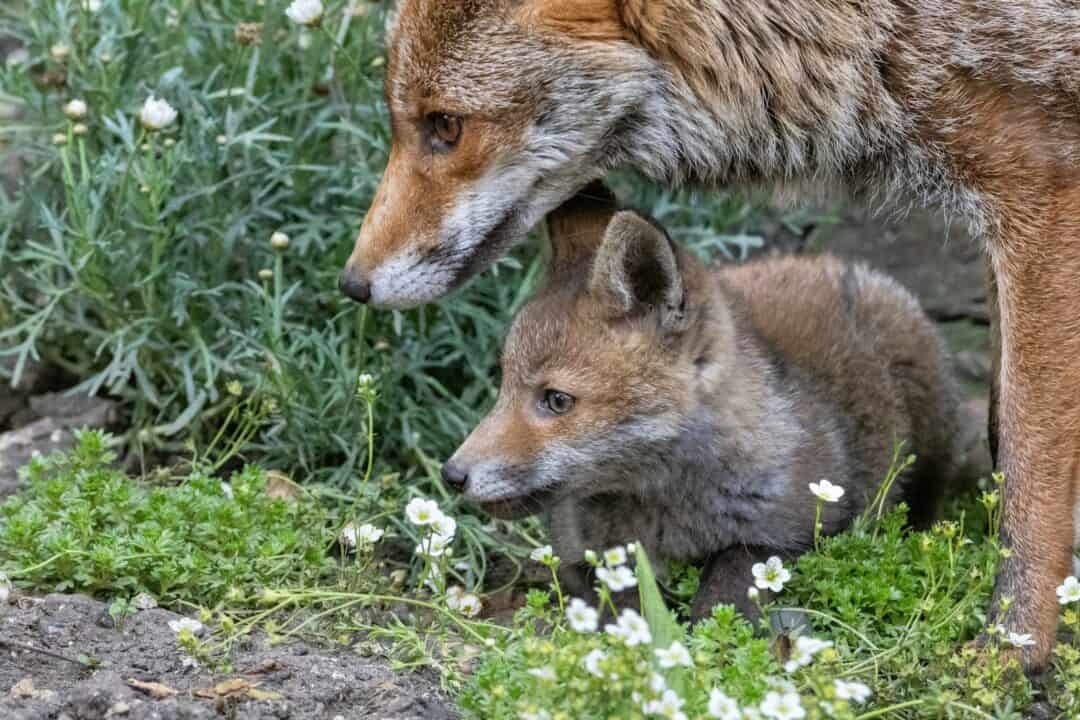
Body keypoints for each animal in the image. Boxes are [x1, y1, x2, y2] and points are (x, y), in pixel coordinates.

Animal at [443, 185, 958, 618]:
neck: (671, 510)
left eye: (556, 400)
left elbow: (724, 586)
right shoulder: (581, 556)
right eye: (504, 383)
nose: (452, 475)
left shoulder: (799, 527)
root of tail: (828, 260)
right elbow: (620, 600)